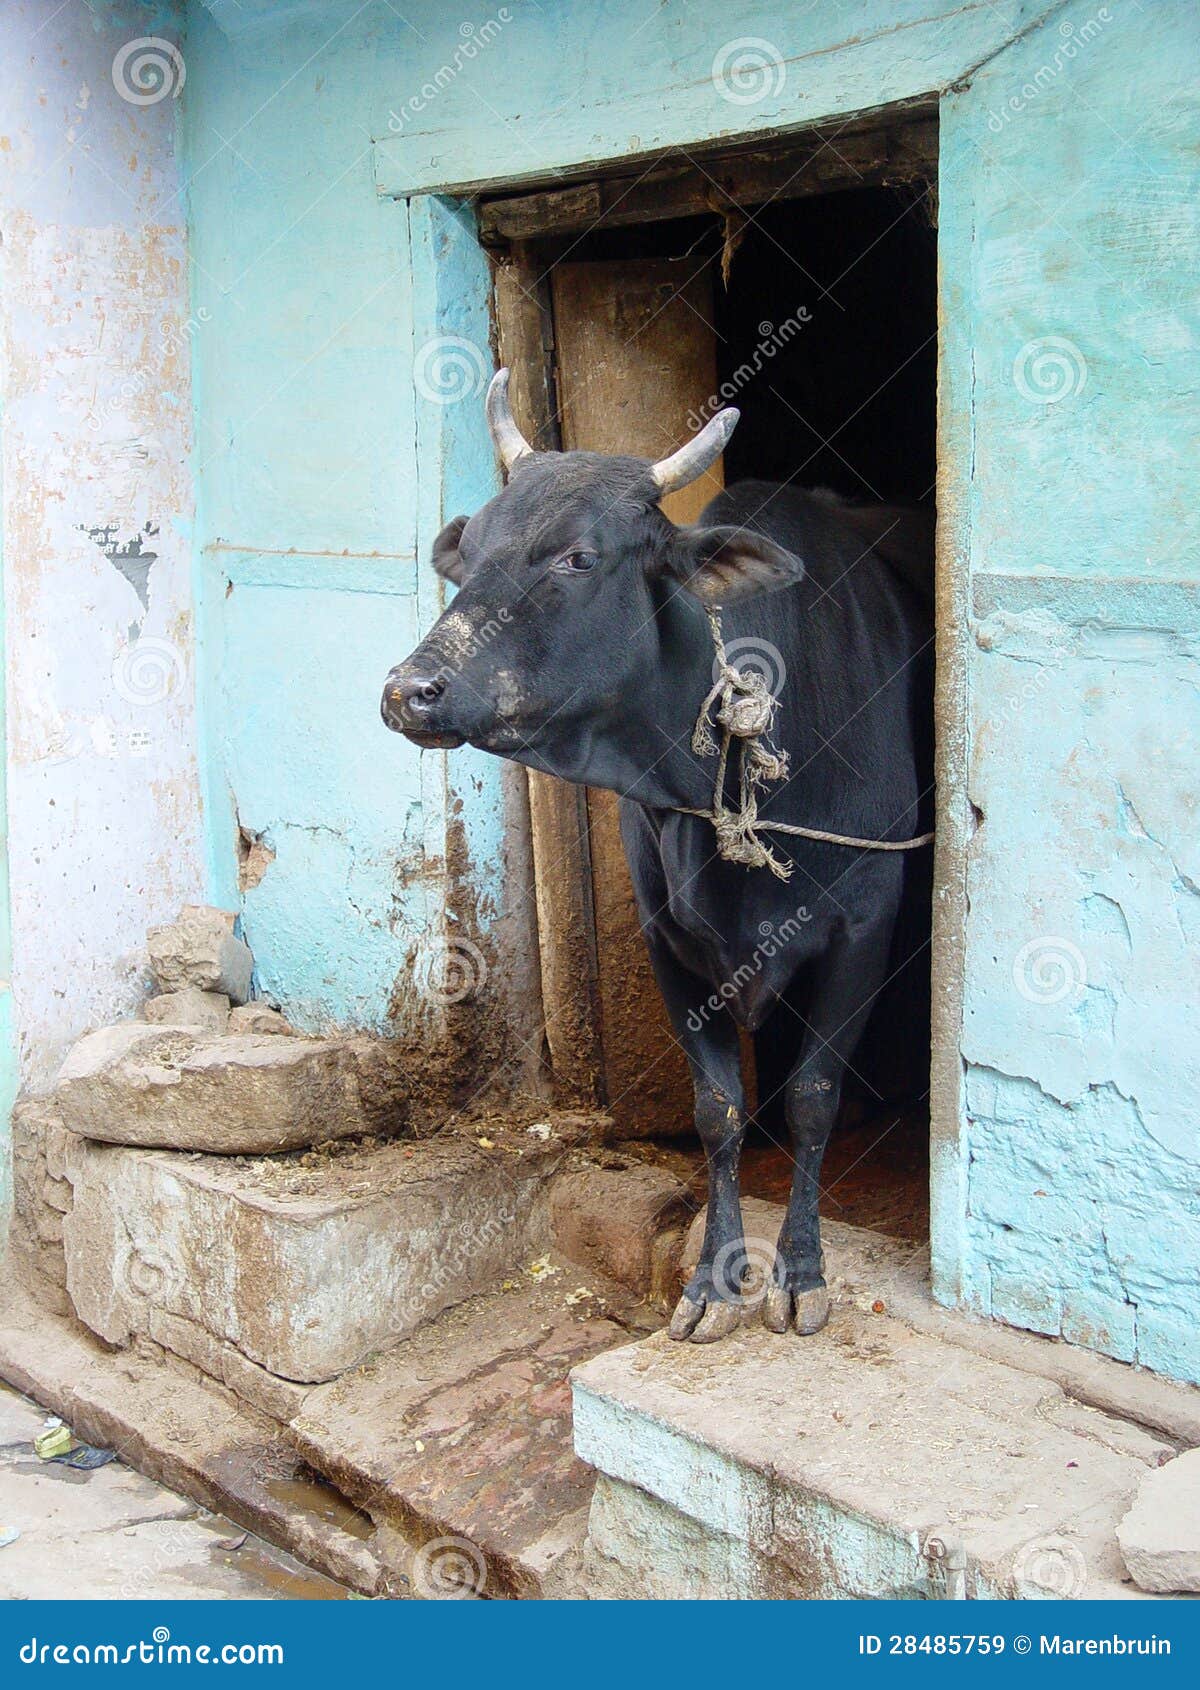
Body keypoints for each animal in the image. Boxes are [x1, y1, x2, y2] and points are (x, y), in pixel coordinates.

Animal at [382, 370, 933, 1345]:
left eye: (577, 557)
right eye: (473, 548)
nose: (409, 691)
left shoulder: (865, 924)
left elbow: (811, 1097)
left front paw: (802, 1269)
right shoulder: (668, 941)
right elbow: (719, 1112)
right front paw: (713, 1279)